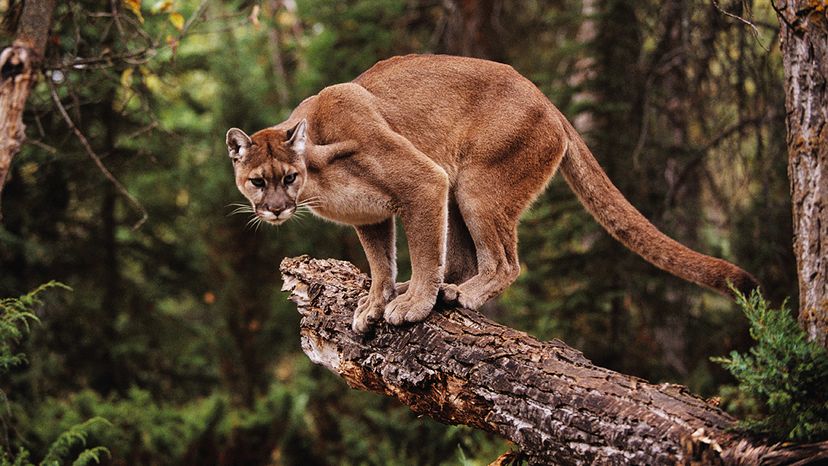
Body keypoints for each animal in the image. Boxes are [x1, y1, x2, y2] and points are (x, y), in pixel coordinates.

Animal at [225, 53, 756, 332]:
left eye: (288, 178)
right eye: (258, 181)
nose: (276, 210)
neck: (319, 175)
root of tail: (546, 99)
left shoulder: (423, 181)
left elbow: (423, 252)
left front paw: (411, 306)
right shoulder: (371, 216)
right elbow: (381, 263)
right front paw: (376, 302)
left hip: (476, 187)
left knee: (503, 262)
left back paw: (458, 295)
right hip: (461, 192)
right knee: (463, 259)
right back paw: (447, 290)